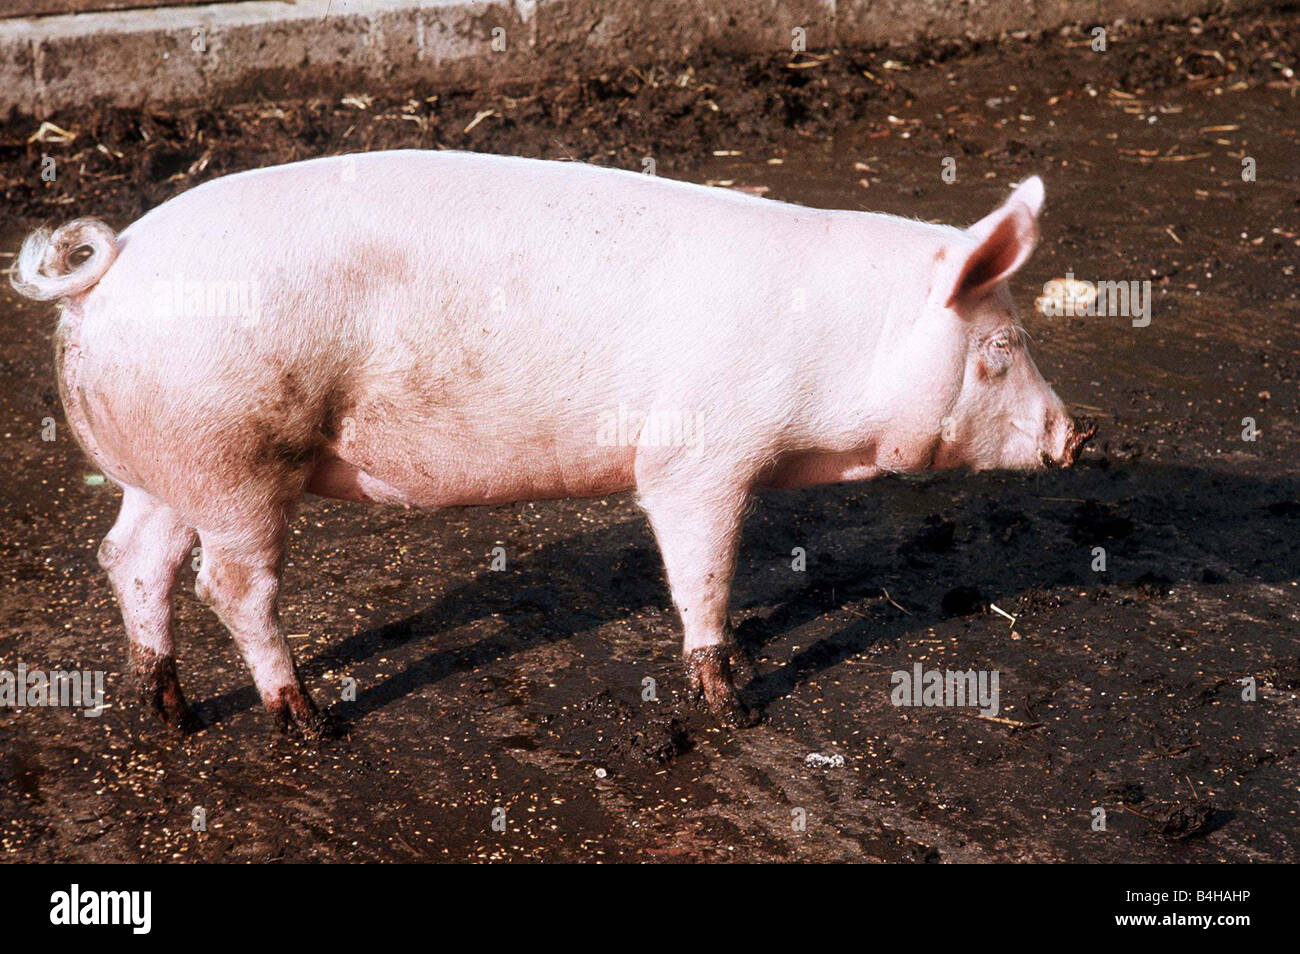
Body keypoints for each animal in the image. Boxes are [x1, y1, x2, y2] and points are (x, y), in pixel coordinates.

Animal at [11, 152, 1093, 734]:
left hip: (169, 464)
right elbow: (702, 573)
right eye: (1001, 348)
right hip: (236, 461)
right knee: (229, 586)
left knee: (131, 557)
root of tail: (111, 268)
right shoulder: (696, 456)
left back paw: (174, 713)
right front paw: (736, 708)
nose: (1079, 434)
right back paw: (313, 725)